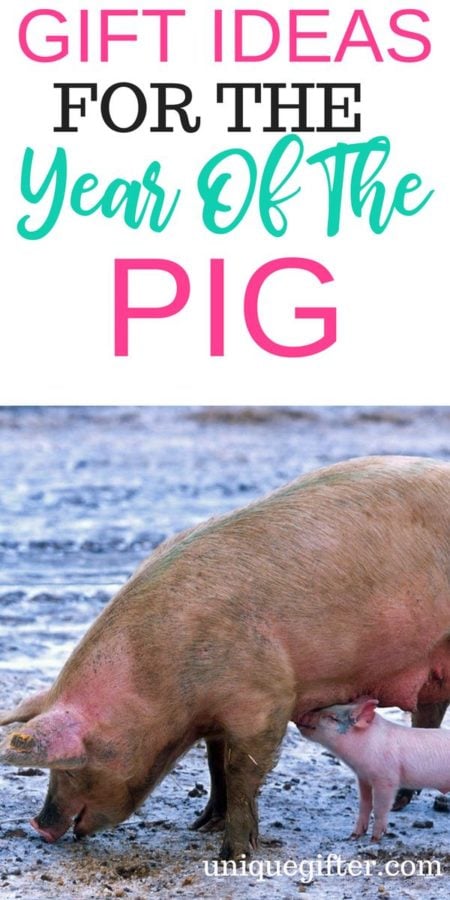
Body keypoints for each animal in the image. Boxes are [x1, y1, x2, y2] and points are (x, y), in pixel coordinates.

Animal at [299, 698, 450, 841]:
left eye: (332, 718)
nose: (302, 715)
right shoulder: (363, 777)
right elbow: (365, 805)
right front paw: (353, 836)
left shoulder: (386, 779)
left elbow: (379, 809)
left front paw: (374, 839)